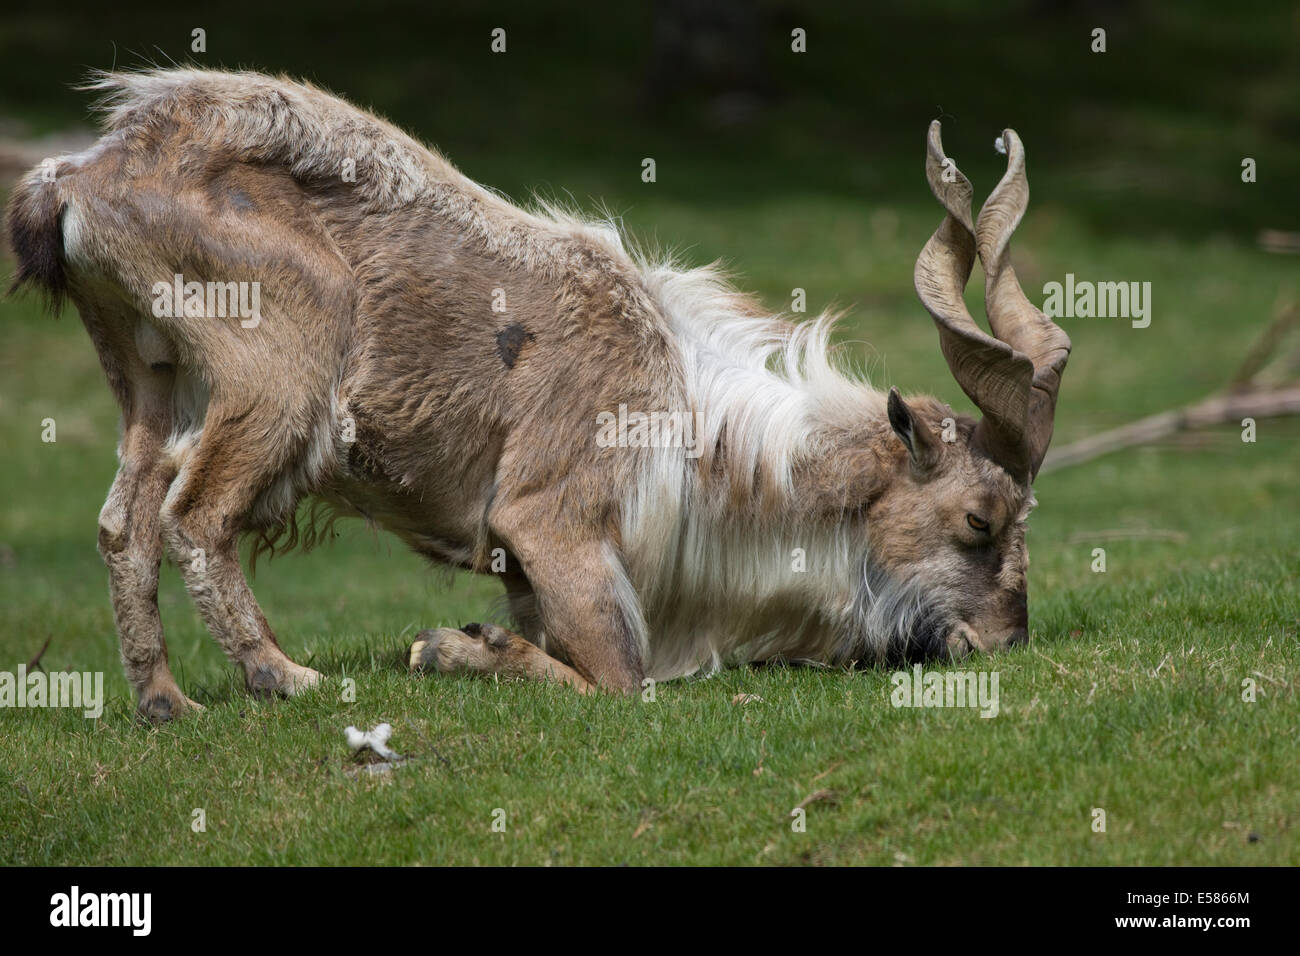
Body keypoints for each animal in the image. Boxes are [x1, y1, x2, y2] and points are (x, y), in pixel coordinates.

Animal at [6, 70, 1069, 716]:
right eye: (979, 520)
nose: (1001, 644)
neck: (694, 419)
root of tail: (78, 181)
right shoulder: (554, 525)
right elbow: (621, 677)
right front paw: (450, 647)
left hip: (152, 384)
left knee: (125, 522)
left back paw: (166, 702)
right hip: (280, 368)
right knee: (195, 514)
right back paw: (285, 676)